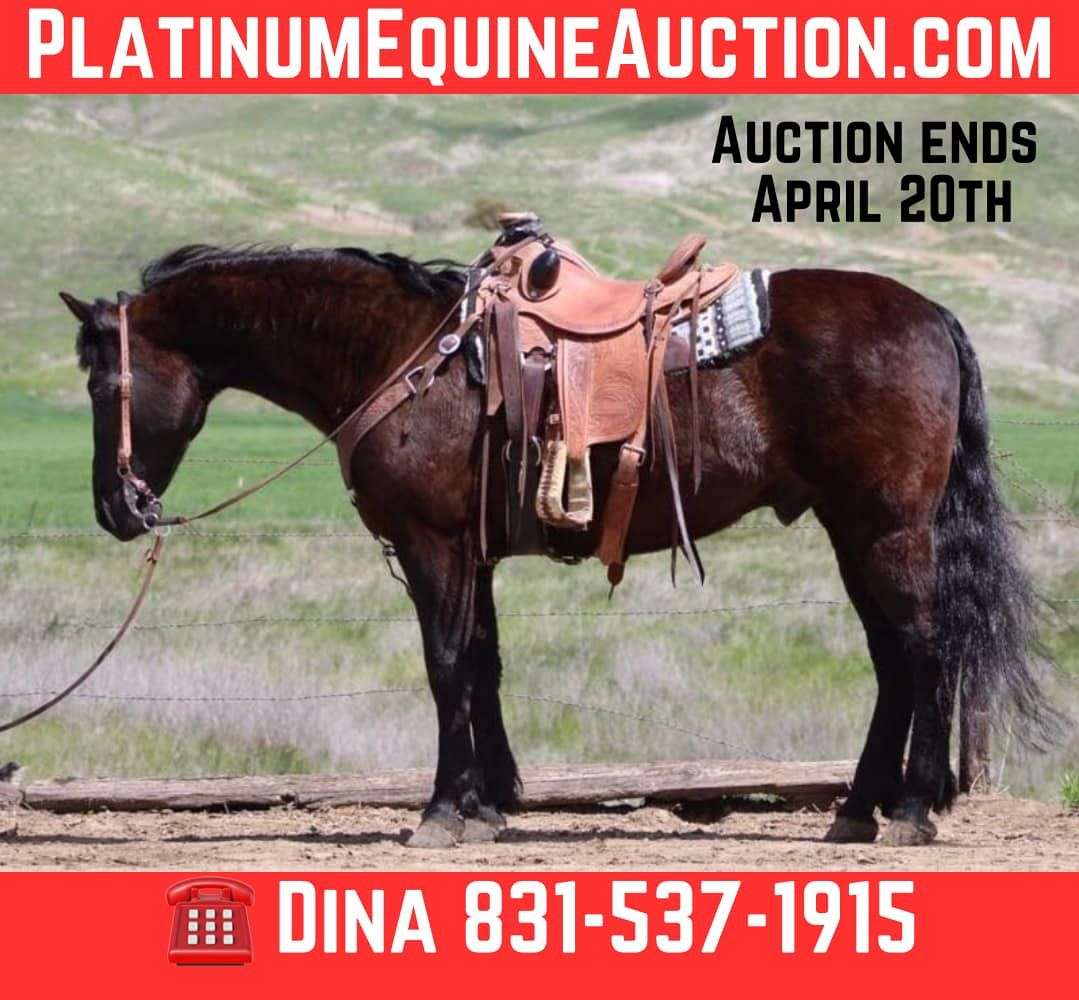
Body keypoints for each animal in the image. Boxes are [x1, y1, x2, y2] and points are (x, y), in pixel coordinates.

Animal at [60, 241, 1054, 848]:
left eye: (104, 383)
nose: (115, 507)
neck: (400, 355)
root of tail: (929, 314)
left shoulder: (432, 546)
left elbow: (445, 665)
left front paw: (441, 810)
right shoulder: (471, 552)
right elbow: (482, 663)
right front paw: (490, 803)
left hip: (884, 527)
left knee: (922, 648)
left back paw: (911, 808)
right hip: (853, 529)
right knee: (892, 657)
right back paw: (854, 811)